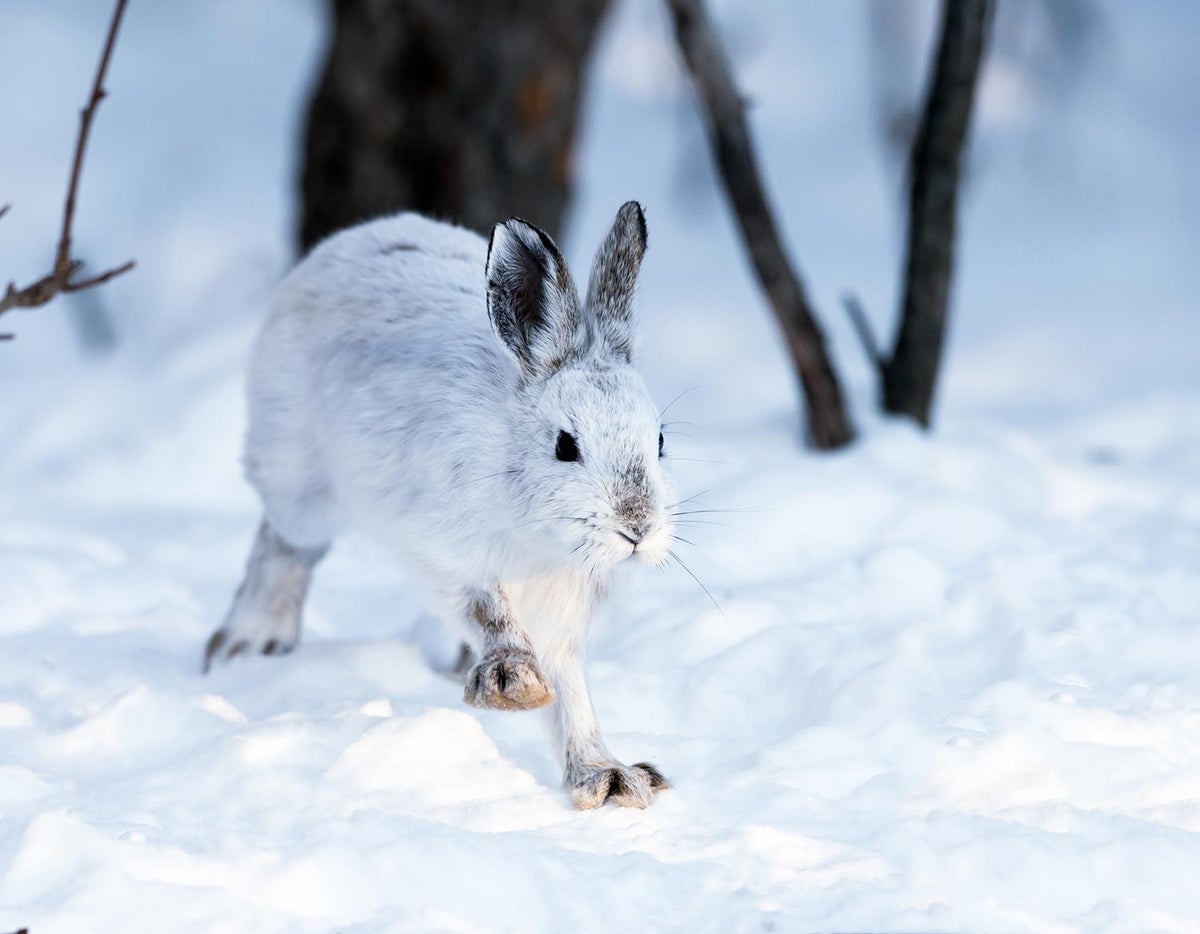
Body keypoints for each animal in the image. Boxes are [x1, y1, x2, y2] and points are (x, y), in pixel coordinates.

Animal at [205, 201, 677, 809]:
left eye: (659, 440)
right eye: (565, 446)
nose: (637, 527)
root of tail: (356, 240)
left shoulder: (564, 610)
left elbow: (571, 690)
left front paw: (609, 777)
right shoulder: (447, 552)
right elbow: (488, 610)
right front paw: (512, 685)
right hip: (299, 482)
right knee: (284, 545)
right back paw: (247, 644)